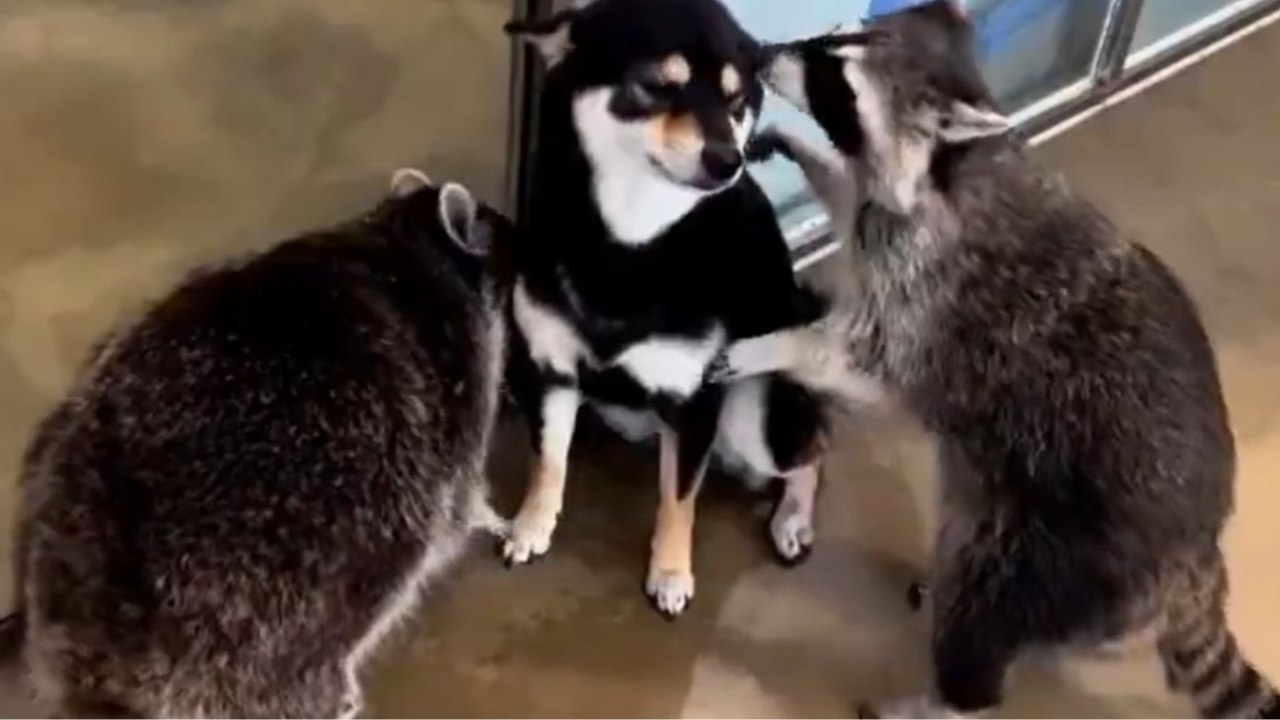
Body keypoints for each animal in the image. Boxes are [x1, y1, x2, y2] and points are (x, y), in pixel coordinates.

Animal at [5, 169, 512, 718]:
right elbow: (458, 502)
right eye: (503, 230)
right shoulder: (465, 370)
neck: (401, 240)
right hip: (274, 603)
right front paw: (486, 513)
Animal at [711, 1, 1280, 717]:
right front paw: (799, 148)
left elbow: (869, 365)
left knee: (980, 625)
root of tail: (1198, 556)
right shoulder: (884, 225)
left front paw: (773, 345)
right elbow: (850, 205)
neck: (952, 163)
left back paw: (943, 699)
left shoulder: (931, 295)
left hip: (1058, 559)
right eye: (832, 40)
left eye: (835, 79)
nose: (763, 55)